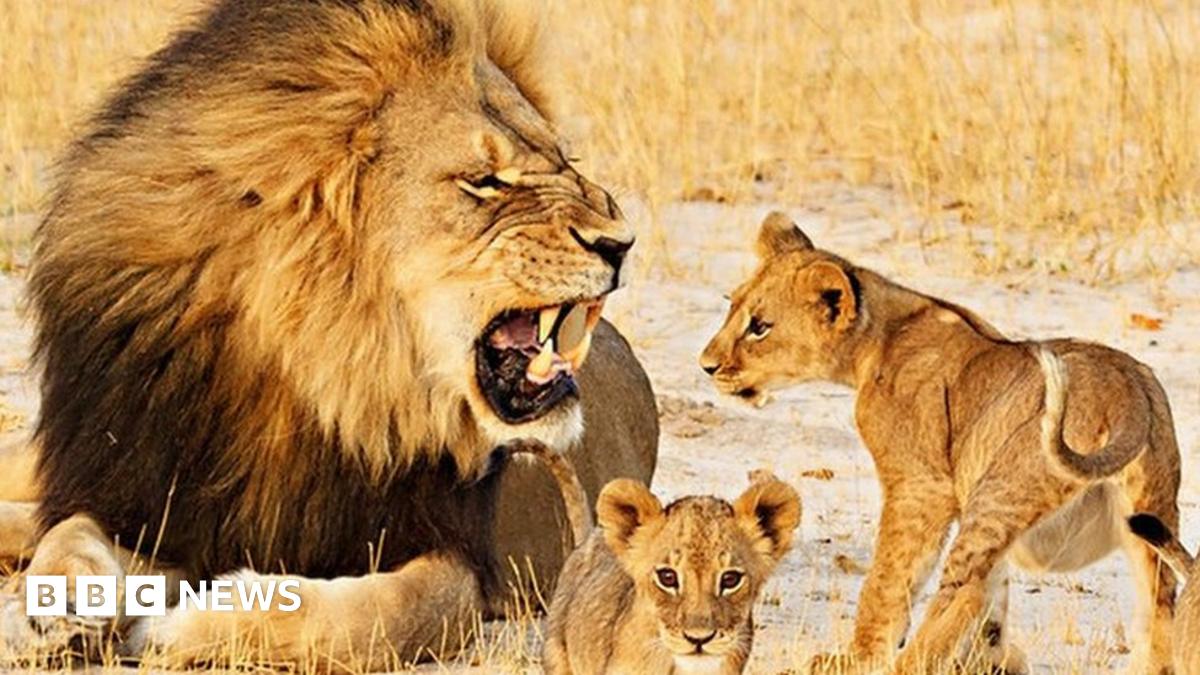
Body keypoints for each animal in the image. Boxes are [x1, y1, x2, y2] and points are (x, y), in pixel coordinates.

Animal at [0, 0, 659, 669]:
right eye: (485, 181)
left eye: (564, 163)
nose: (621, 243)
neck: (307, 371)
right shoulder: (140, 491)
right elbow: (69, 533)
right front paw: (52, 613)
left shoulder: (459, 561)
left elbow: (378, 616)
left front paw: (182, 623)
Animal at [699, 212, 1182, 674]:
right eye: (731, 306)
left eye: (760, 327)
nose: (706, 365)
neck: (877, 336)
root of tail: (1124, 388)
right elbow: (994, 601)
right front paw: (991, 663)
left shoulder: (920, 487)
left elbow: (889, 579)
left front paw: (856, 659)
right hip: (1149, 513)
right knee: (1161, 602)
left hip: (1001, 490)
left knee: (964, 590)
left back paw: (906, 666)